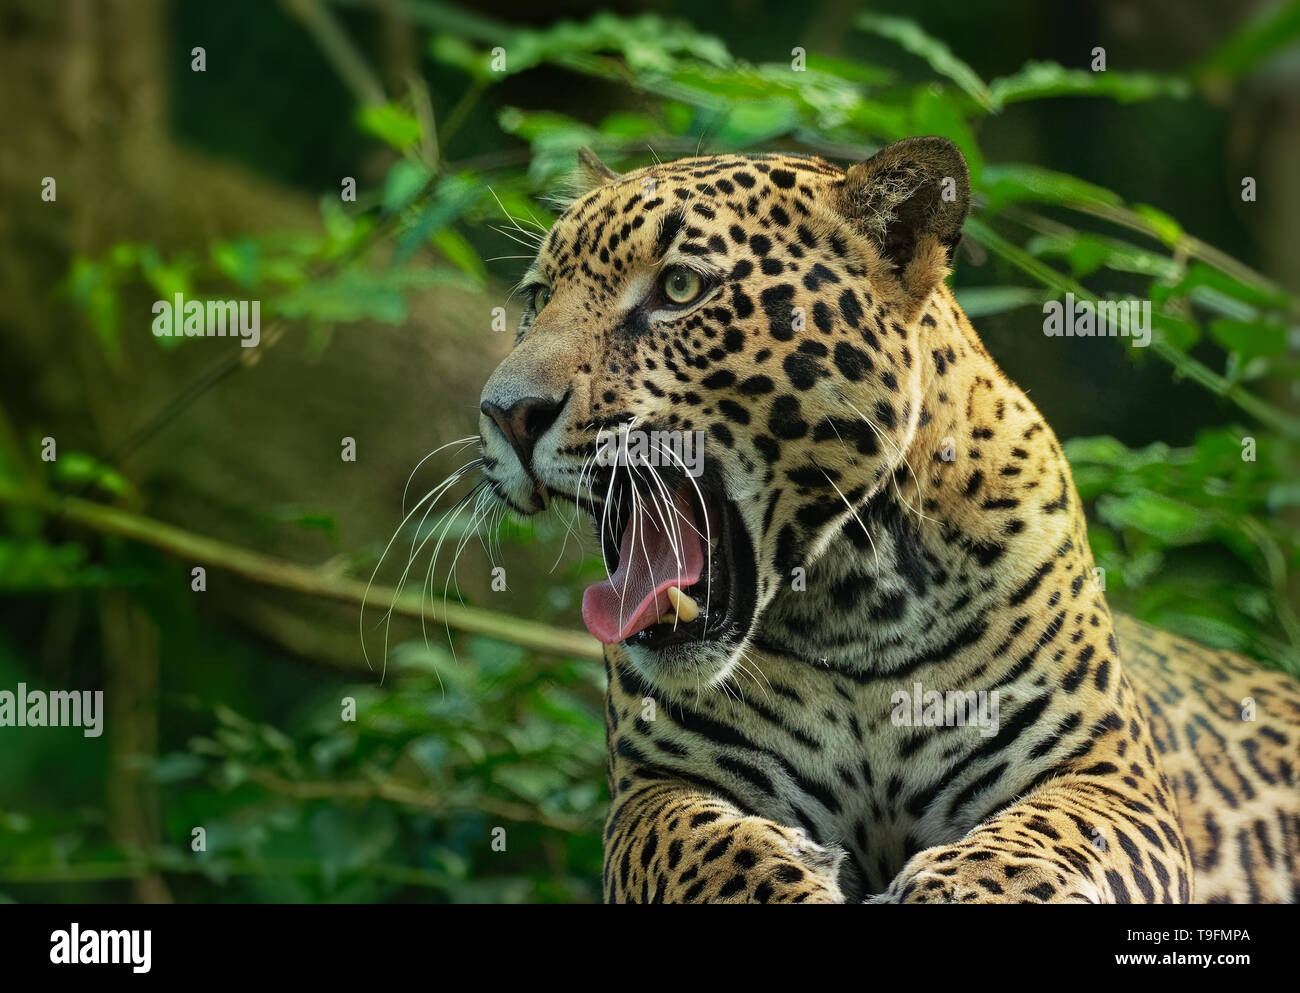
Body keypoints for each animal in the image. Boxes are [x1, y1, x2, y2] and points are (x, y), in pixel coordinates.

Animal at [474, 137, 1300, 903]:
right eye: (536, 298)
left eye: (679, 286)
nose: (505, 412)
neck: (852, 604)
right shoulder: (653, 790)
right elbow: (708, 847)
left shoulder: (1103, 771)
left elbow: (1034, 845)